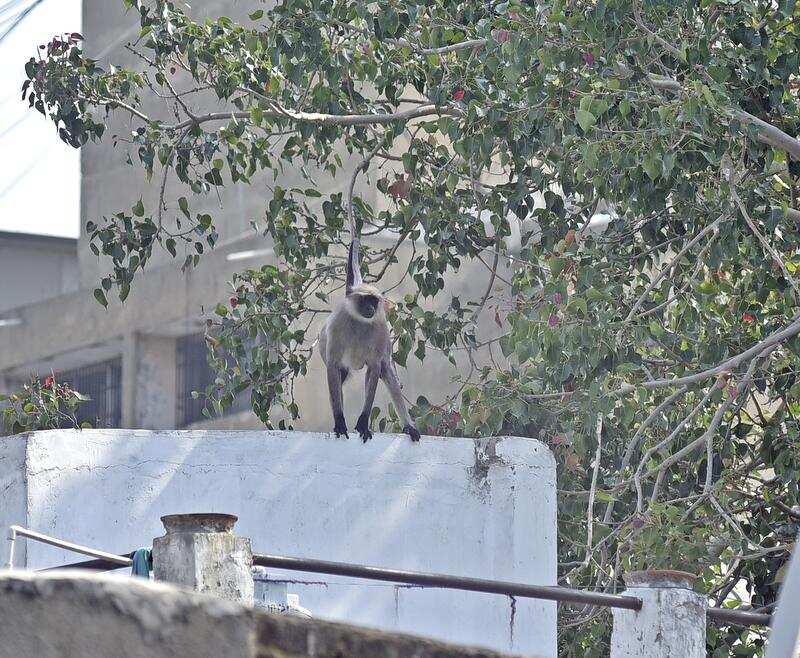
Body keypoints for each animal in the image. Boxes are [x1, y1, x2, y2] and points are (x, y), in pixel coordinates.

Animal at [318, 238, 421, 443]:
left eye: (374, 301)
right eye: (365, 300)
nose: (371, 308)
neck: (360, 321)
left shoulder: (380, 327)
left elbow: (375, 366)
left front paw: (364, 422)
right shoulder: (337, 324)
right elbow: (333, 366)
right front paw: (340, 421)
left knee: (385, 369)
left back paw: (408, 426)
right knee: (340, 374)